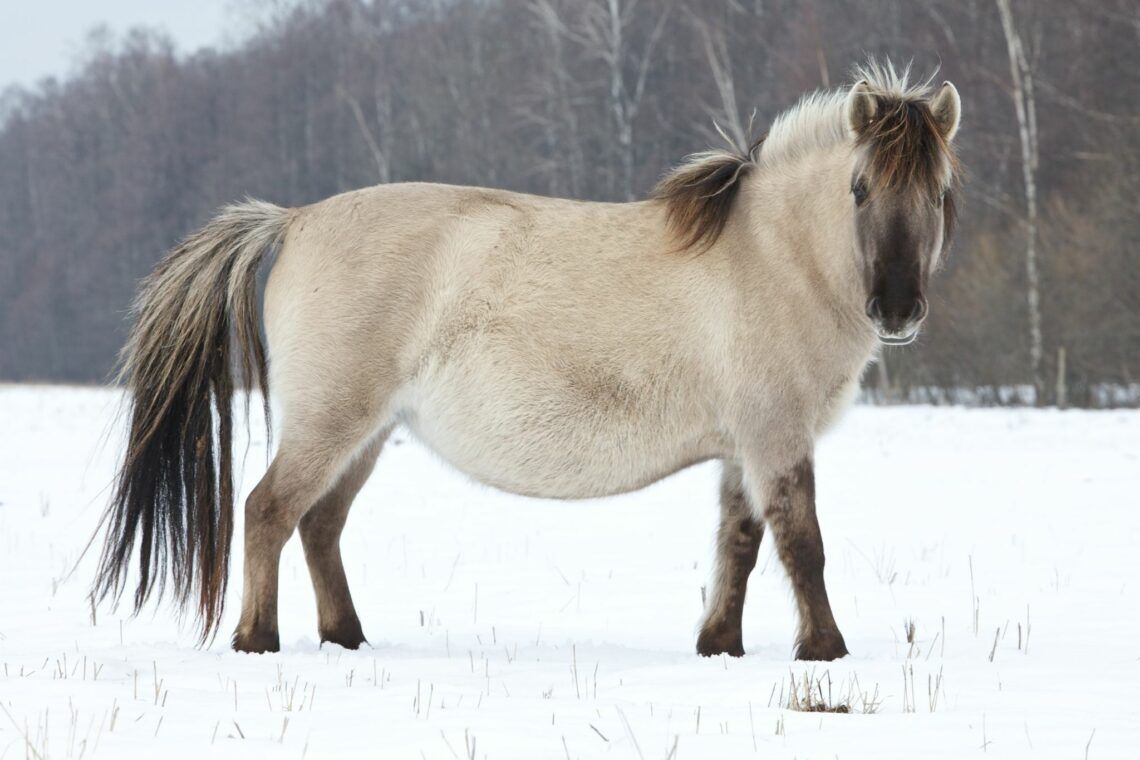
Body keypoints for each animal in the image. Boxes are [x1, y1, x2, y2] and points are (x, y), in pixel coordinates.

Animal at [92, 62, 961, 660]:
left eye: (941, 193)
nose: (897, 308)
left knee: (321, 525)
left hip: (365, 432)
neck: (778, 257)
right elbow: (801, 545)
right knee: (270, 511)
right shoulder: (777, 438)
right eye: (858, 188)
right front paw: (826, 650)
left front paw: (720, 645)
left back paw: (348, 637)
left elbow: (739, 546)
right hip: (330, 420)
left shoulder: (743, 446)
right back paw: (258, 640)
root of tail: (296, 218)